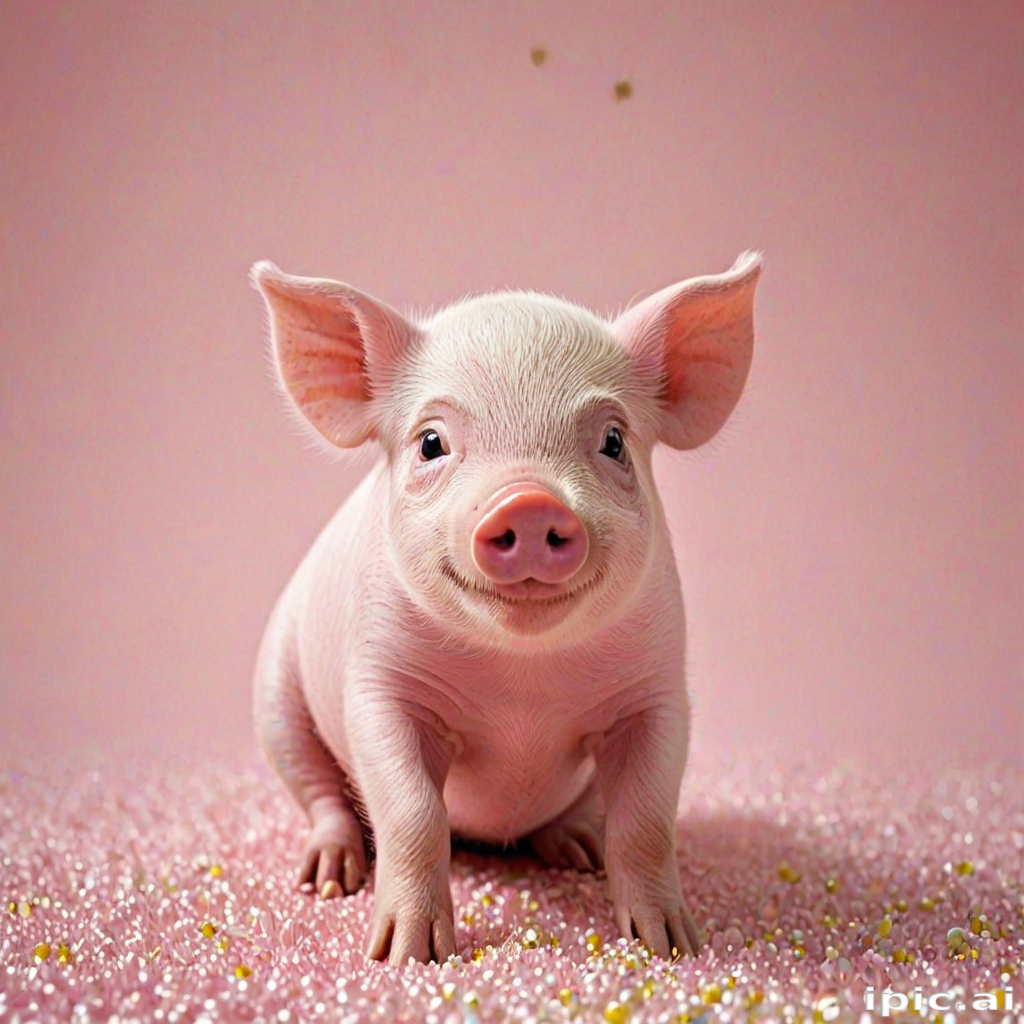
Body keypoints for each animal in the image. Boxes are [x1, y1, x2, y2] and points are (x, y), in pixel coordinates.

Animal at [250, 251, 762, 965]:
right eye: (431, 442)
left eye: (613, 441)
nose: (529, 501)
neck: (523, 686)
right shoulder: (379, 684)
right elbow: (412, 810)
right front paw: (405, 956)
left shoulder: (658, 693)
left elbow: (647, 819)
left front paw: (671, 947)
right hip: (274, 699)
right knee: (321, 794)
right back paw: (326, 878)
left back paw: (579, 850)